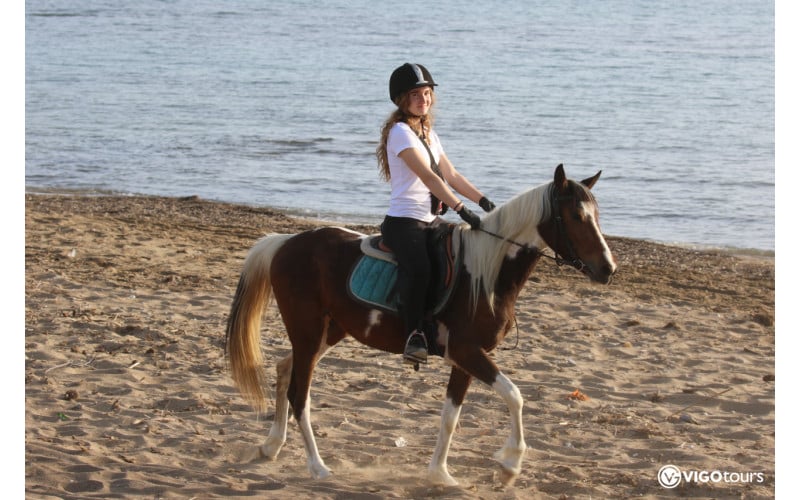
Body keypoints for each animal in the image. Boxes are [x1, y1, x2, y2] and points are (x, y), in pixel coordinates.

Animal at [225, 164, 617, 486]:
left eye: (598, 215)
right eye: (577, 215)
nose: (608, 269)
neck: (485, 273)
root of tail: (285, 243)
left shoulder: (464, 360)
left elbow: (450, 417)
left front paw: (440, 474)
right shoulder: (467, 351)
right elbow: (515, 396)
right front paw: (509, 466)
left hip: (327, 332)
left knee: (284, 370)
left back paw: (271, 446)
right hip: (307, 332)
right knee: (299, 394)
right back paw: (317, 466)